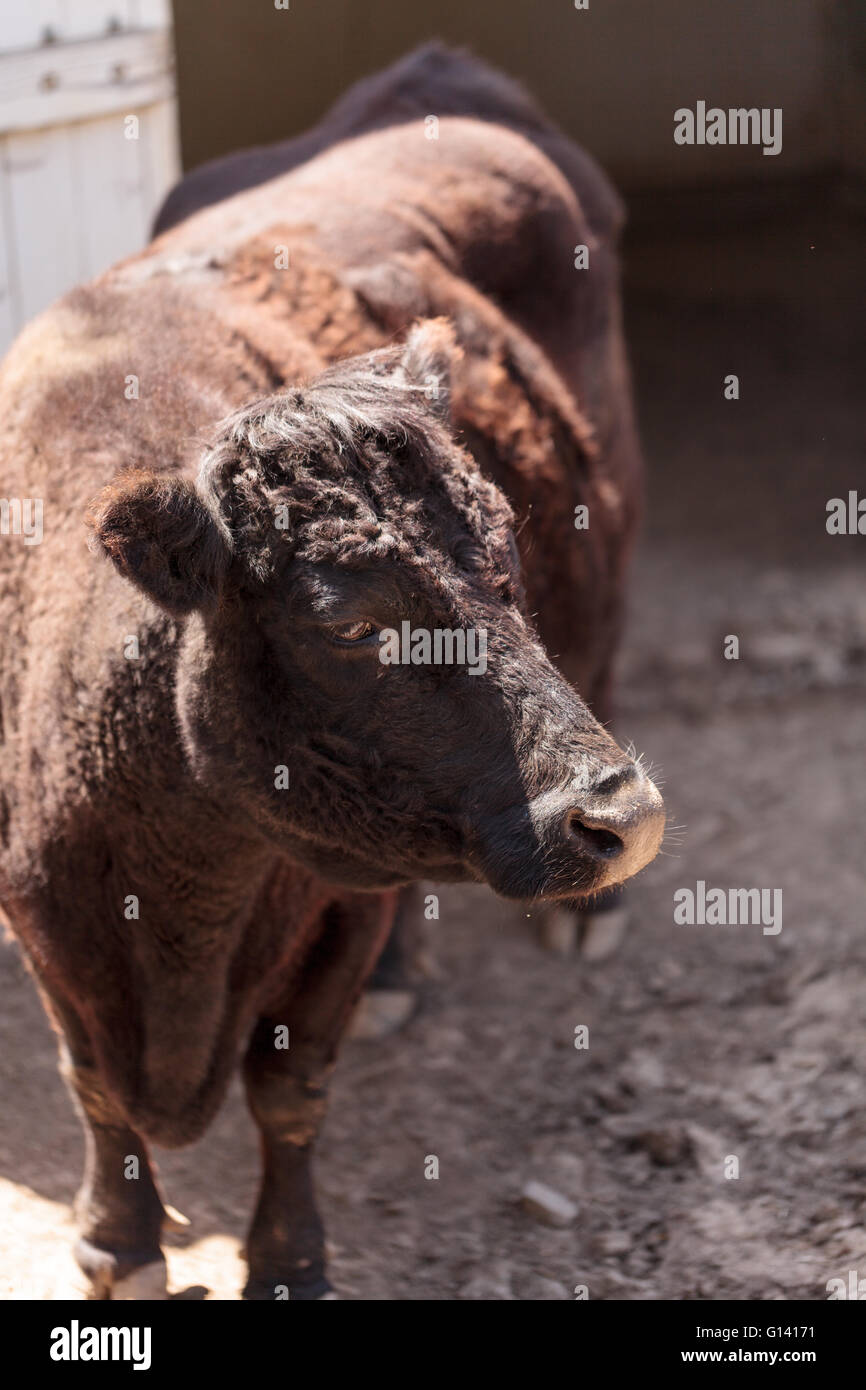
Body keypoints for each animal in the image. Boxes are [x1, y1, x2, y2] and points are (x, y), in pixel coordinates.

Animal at [0, 44, 663, 1299]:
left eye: (504, 563)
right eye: (351, 624)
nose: (623, 815)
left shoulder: (332, 912)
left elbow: (290, 1088)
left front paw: (288, 1261)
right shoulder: (45, 919)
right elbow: (90, 1081)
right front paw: (119, 1241)